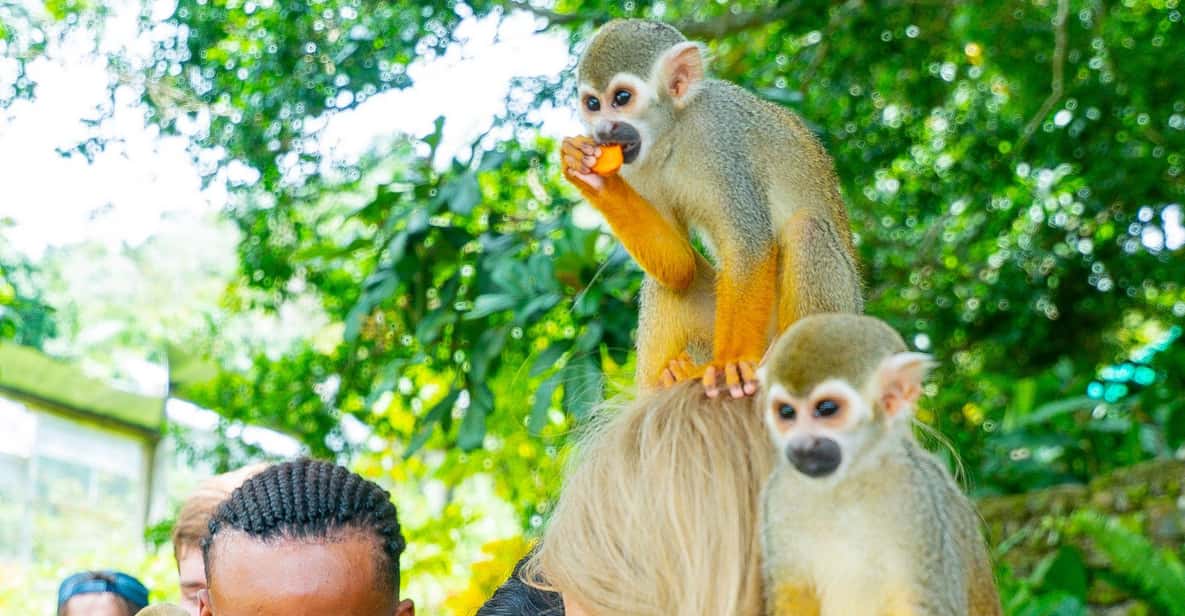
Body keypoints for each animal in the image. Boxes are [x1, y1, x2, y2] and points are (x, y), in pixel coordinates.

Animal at [560, 19, 863, 399]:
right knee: (669, 281)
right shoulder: (634, 167)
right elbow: (679, 265)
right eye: (592, 103)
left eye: (622, 98)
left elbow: (749, 244)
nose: (602, 132)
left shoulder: (721, 138)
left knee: (806, 229)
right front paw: (591, 175)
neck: (673, 133)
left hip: (845, 322)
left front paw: (731, 363)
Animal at [757, 314, 1002, 616]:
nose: (801, 446)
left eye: (826, 409)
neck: (849, 482)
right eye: (786, 412)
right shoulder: (778, 495)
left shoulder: (921, 501)